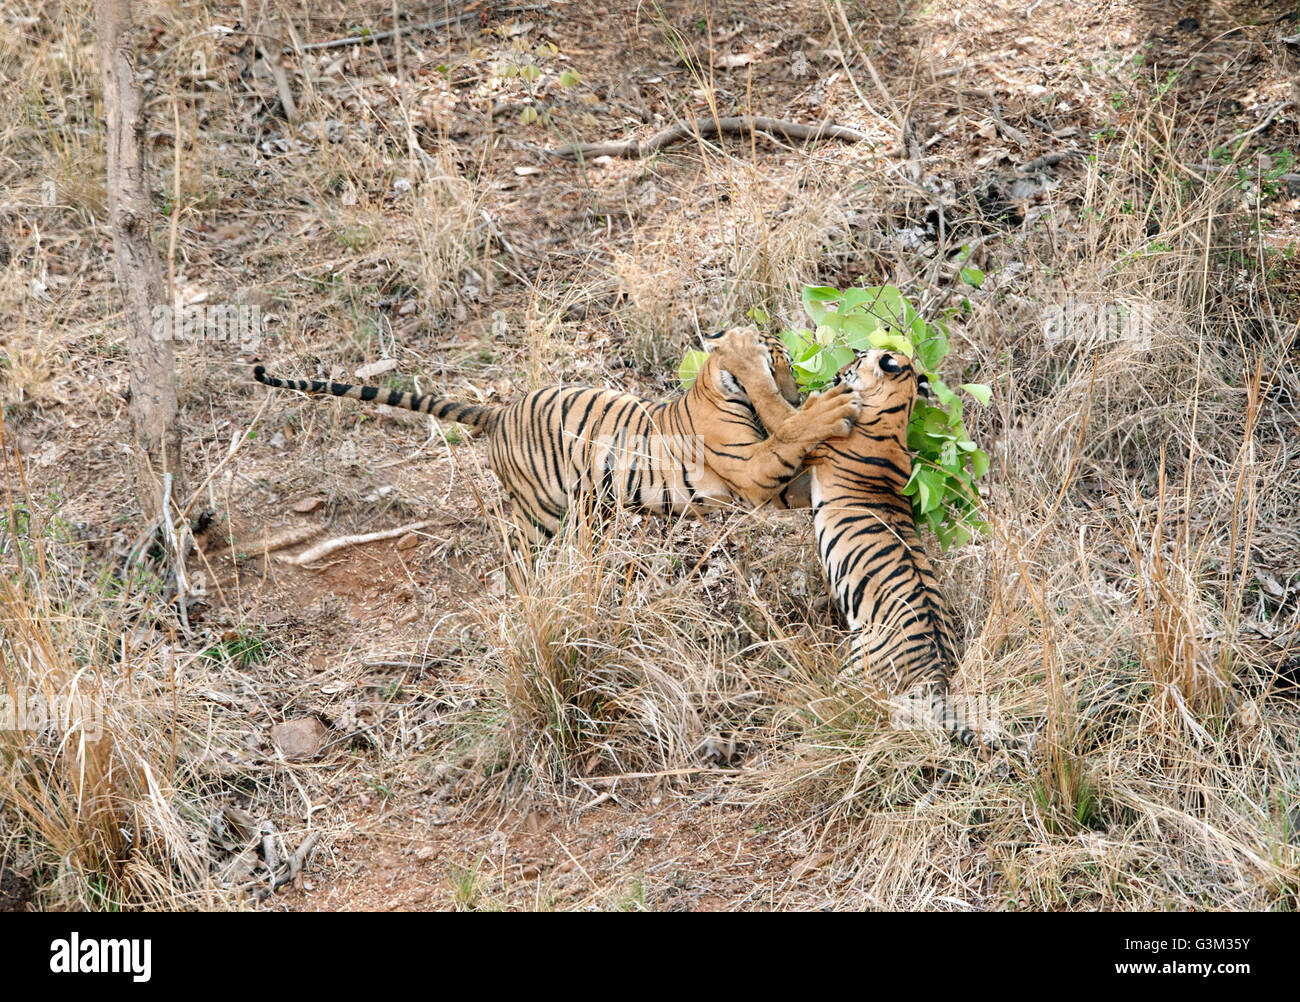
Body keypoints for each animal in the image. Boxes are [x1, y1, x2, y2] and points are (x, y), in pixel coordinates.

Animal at [253, 326, 859, 583]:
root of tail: (497, 412)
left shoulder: (777, 485)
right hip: (540, 514)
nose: (798, 388)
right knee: (515, 553)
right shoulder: (755, 472)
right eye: (783, 358)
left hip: (592, 505)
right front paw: (823, 407)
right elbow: (789, 431)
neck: (715, 386)